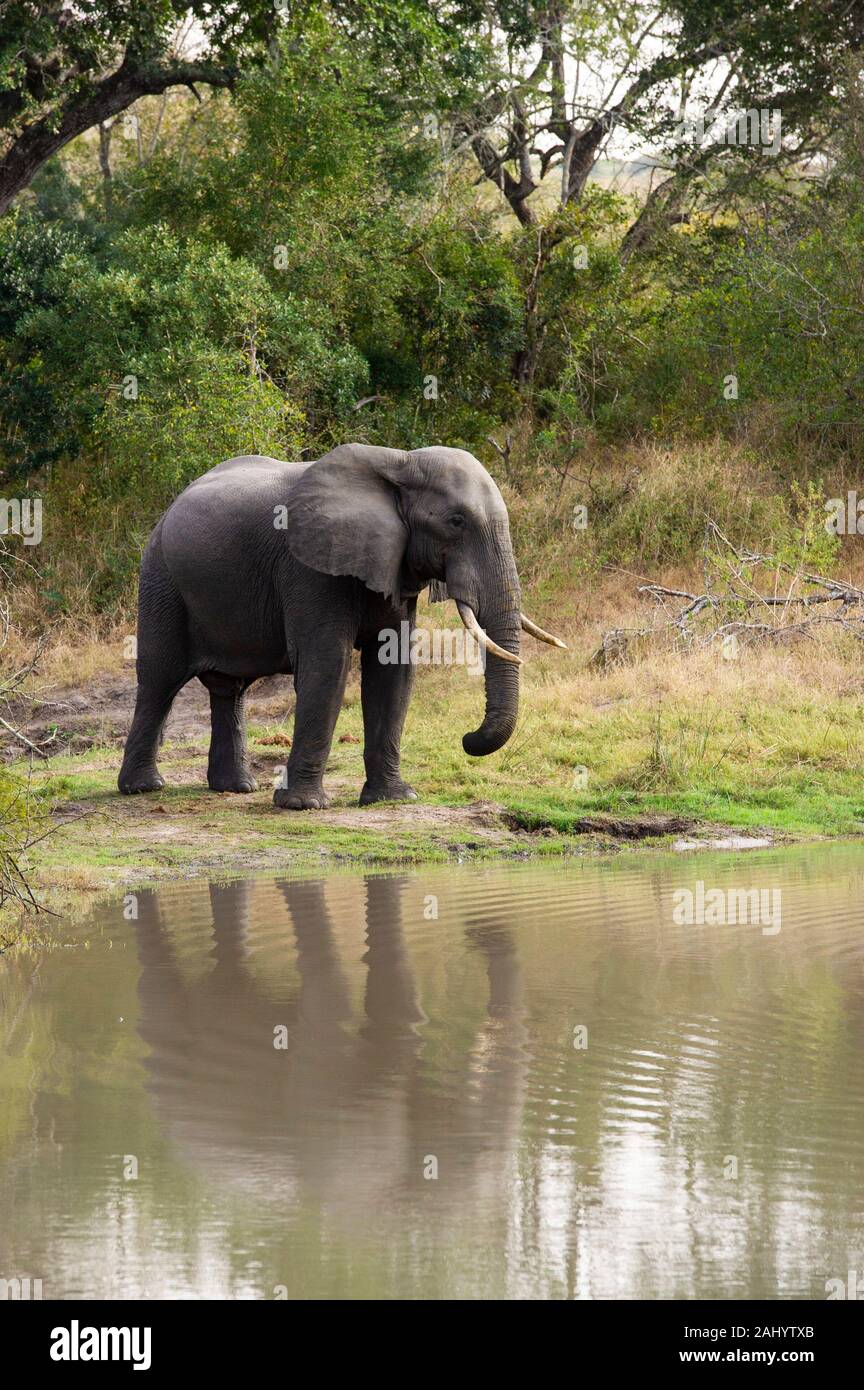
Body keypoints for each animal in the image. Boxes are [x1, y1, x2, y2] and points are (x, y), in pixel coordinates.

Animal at [118, 443, 565, 808]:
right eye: (456, 521)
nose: (466, 739)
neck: (399, 461)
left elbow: (393, 669)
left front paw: (392, 799)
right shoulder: (309, 567)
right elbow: (327, 665)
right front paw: (303, 806)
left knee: (231, 689)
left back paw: (237, 788)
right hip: (161, 578)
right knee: (160, 680)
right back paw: (144, 788)